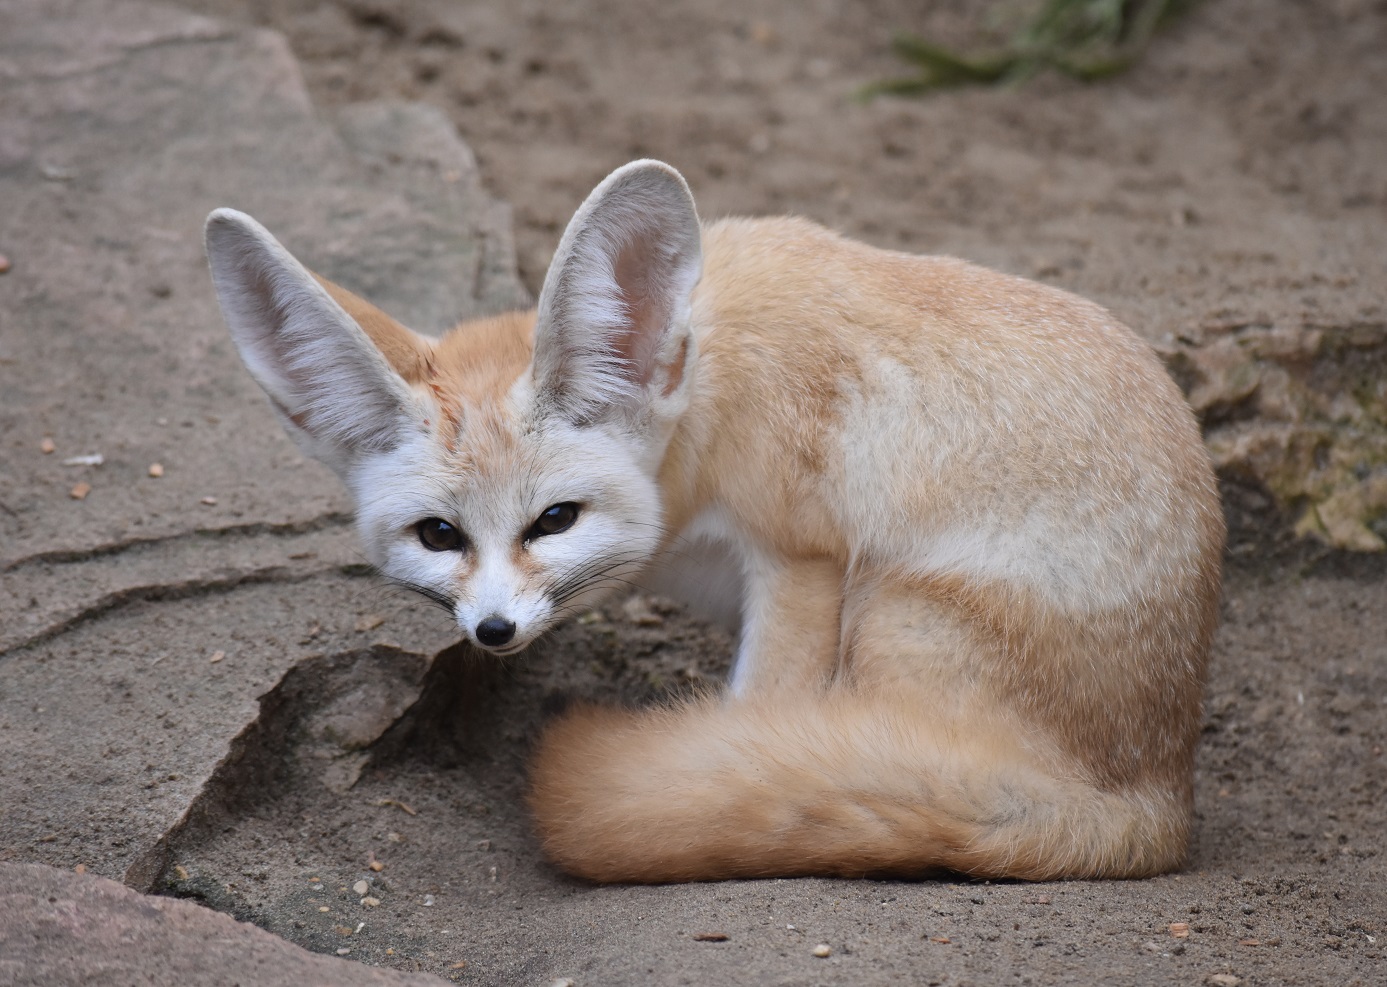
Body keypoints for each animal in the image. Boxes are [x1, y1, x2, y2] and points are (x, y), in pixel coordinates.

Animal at [204, 159, 1224, 883]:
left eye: (554, 519)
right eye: (438, 536)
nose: (492, 630)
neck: (702, 397)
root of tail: (1156, 801)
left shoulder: (801, 559)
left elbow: (750, 726)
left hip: (889, 610)